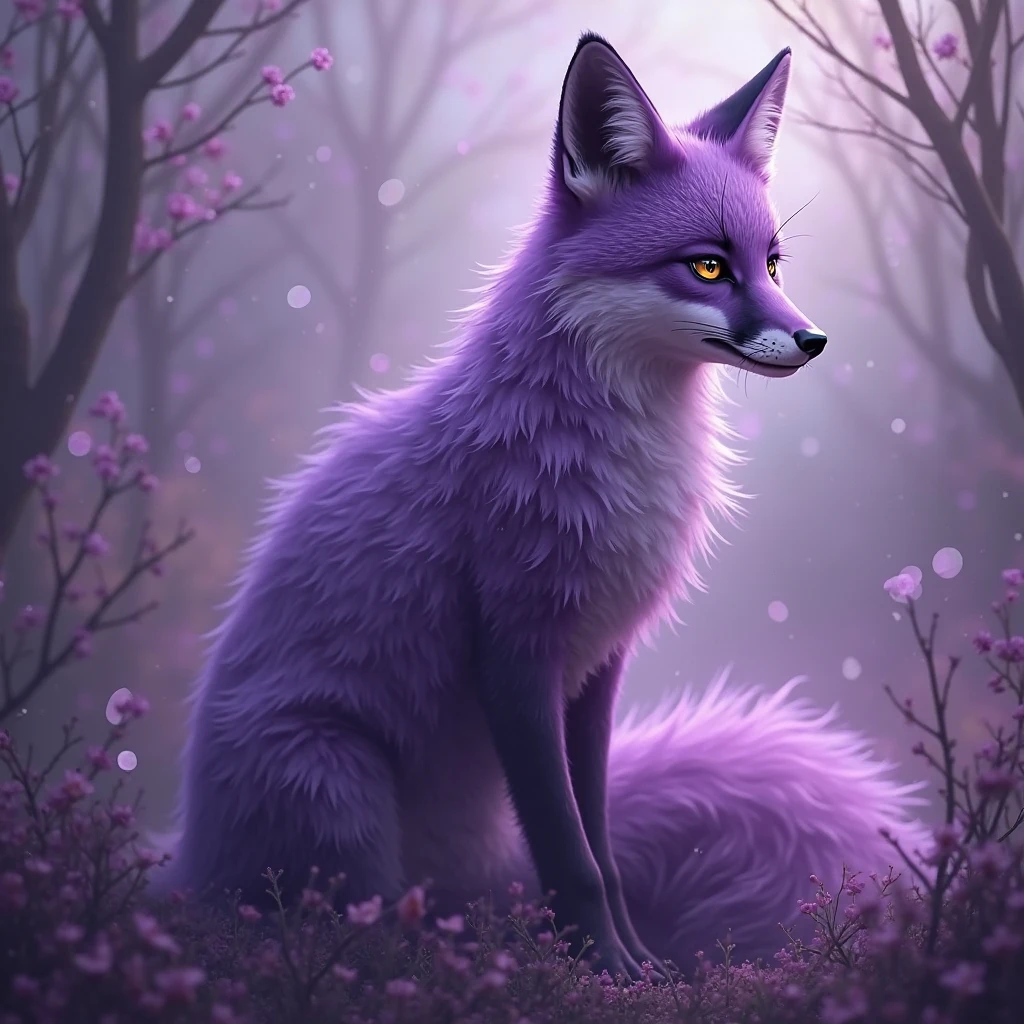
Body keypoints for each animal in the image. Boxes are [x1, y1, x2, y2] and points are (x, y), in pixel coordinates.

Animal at [154, 35, 928, 977]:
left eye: (773, 264)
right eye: (709, 265)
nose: (814, 340)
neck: (614, 475)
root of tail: (184, 859)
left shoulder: (598, 666)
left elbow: (599, 839)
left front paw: (638, 966)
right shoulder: (514, 654)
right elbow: (571, 850)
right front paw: (603, 966)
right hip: (335, 784)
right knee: (338, 916)